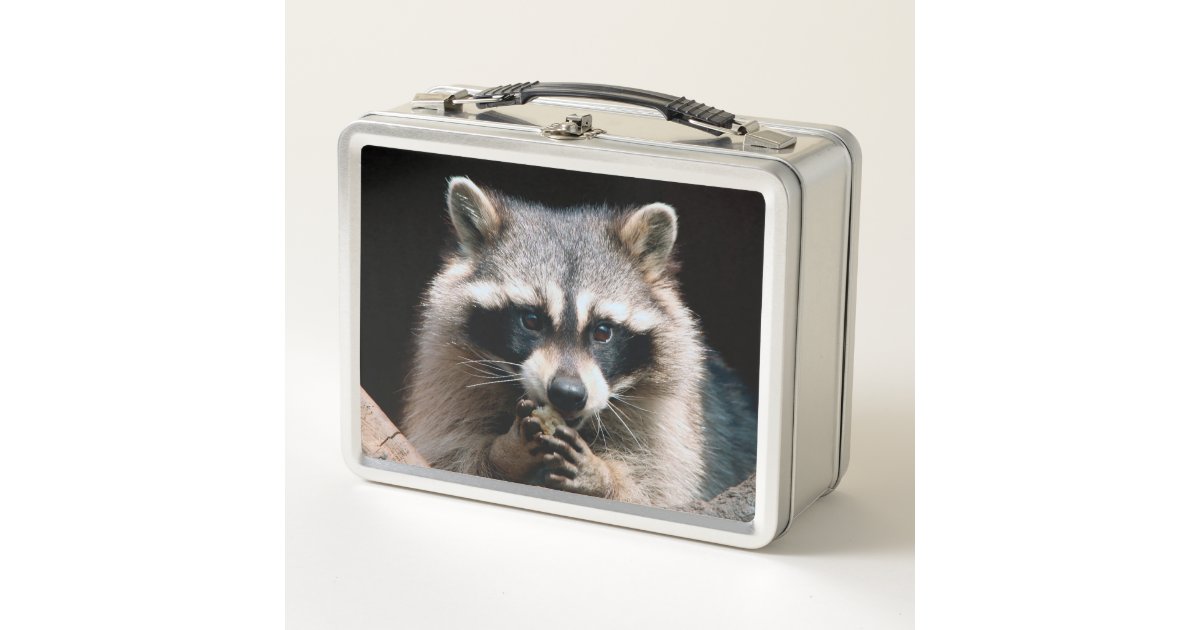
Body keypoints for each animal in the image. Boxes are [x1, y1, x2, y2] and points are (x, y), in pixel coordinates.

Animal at [401, 176, 757, 507]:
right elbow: (450, 454)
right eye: (532, 320)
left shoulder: (674, 424)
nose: (567, 393)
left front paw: (604, 477)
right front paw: (505, 453)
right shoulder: (450, 377)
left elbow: (658, 489)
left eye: (602, 331)